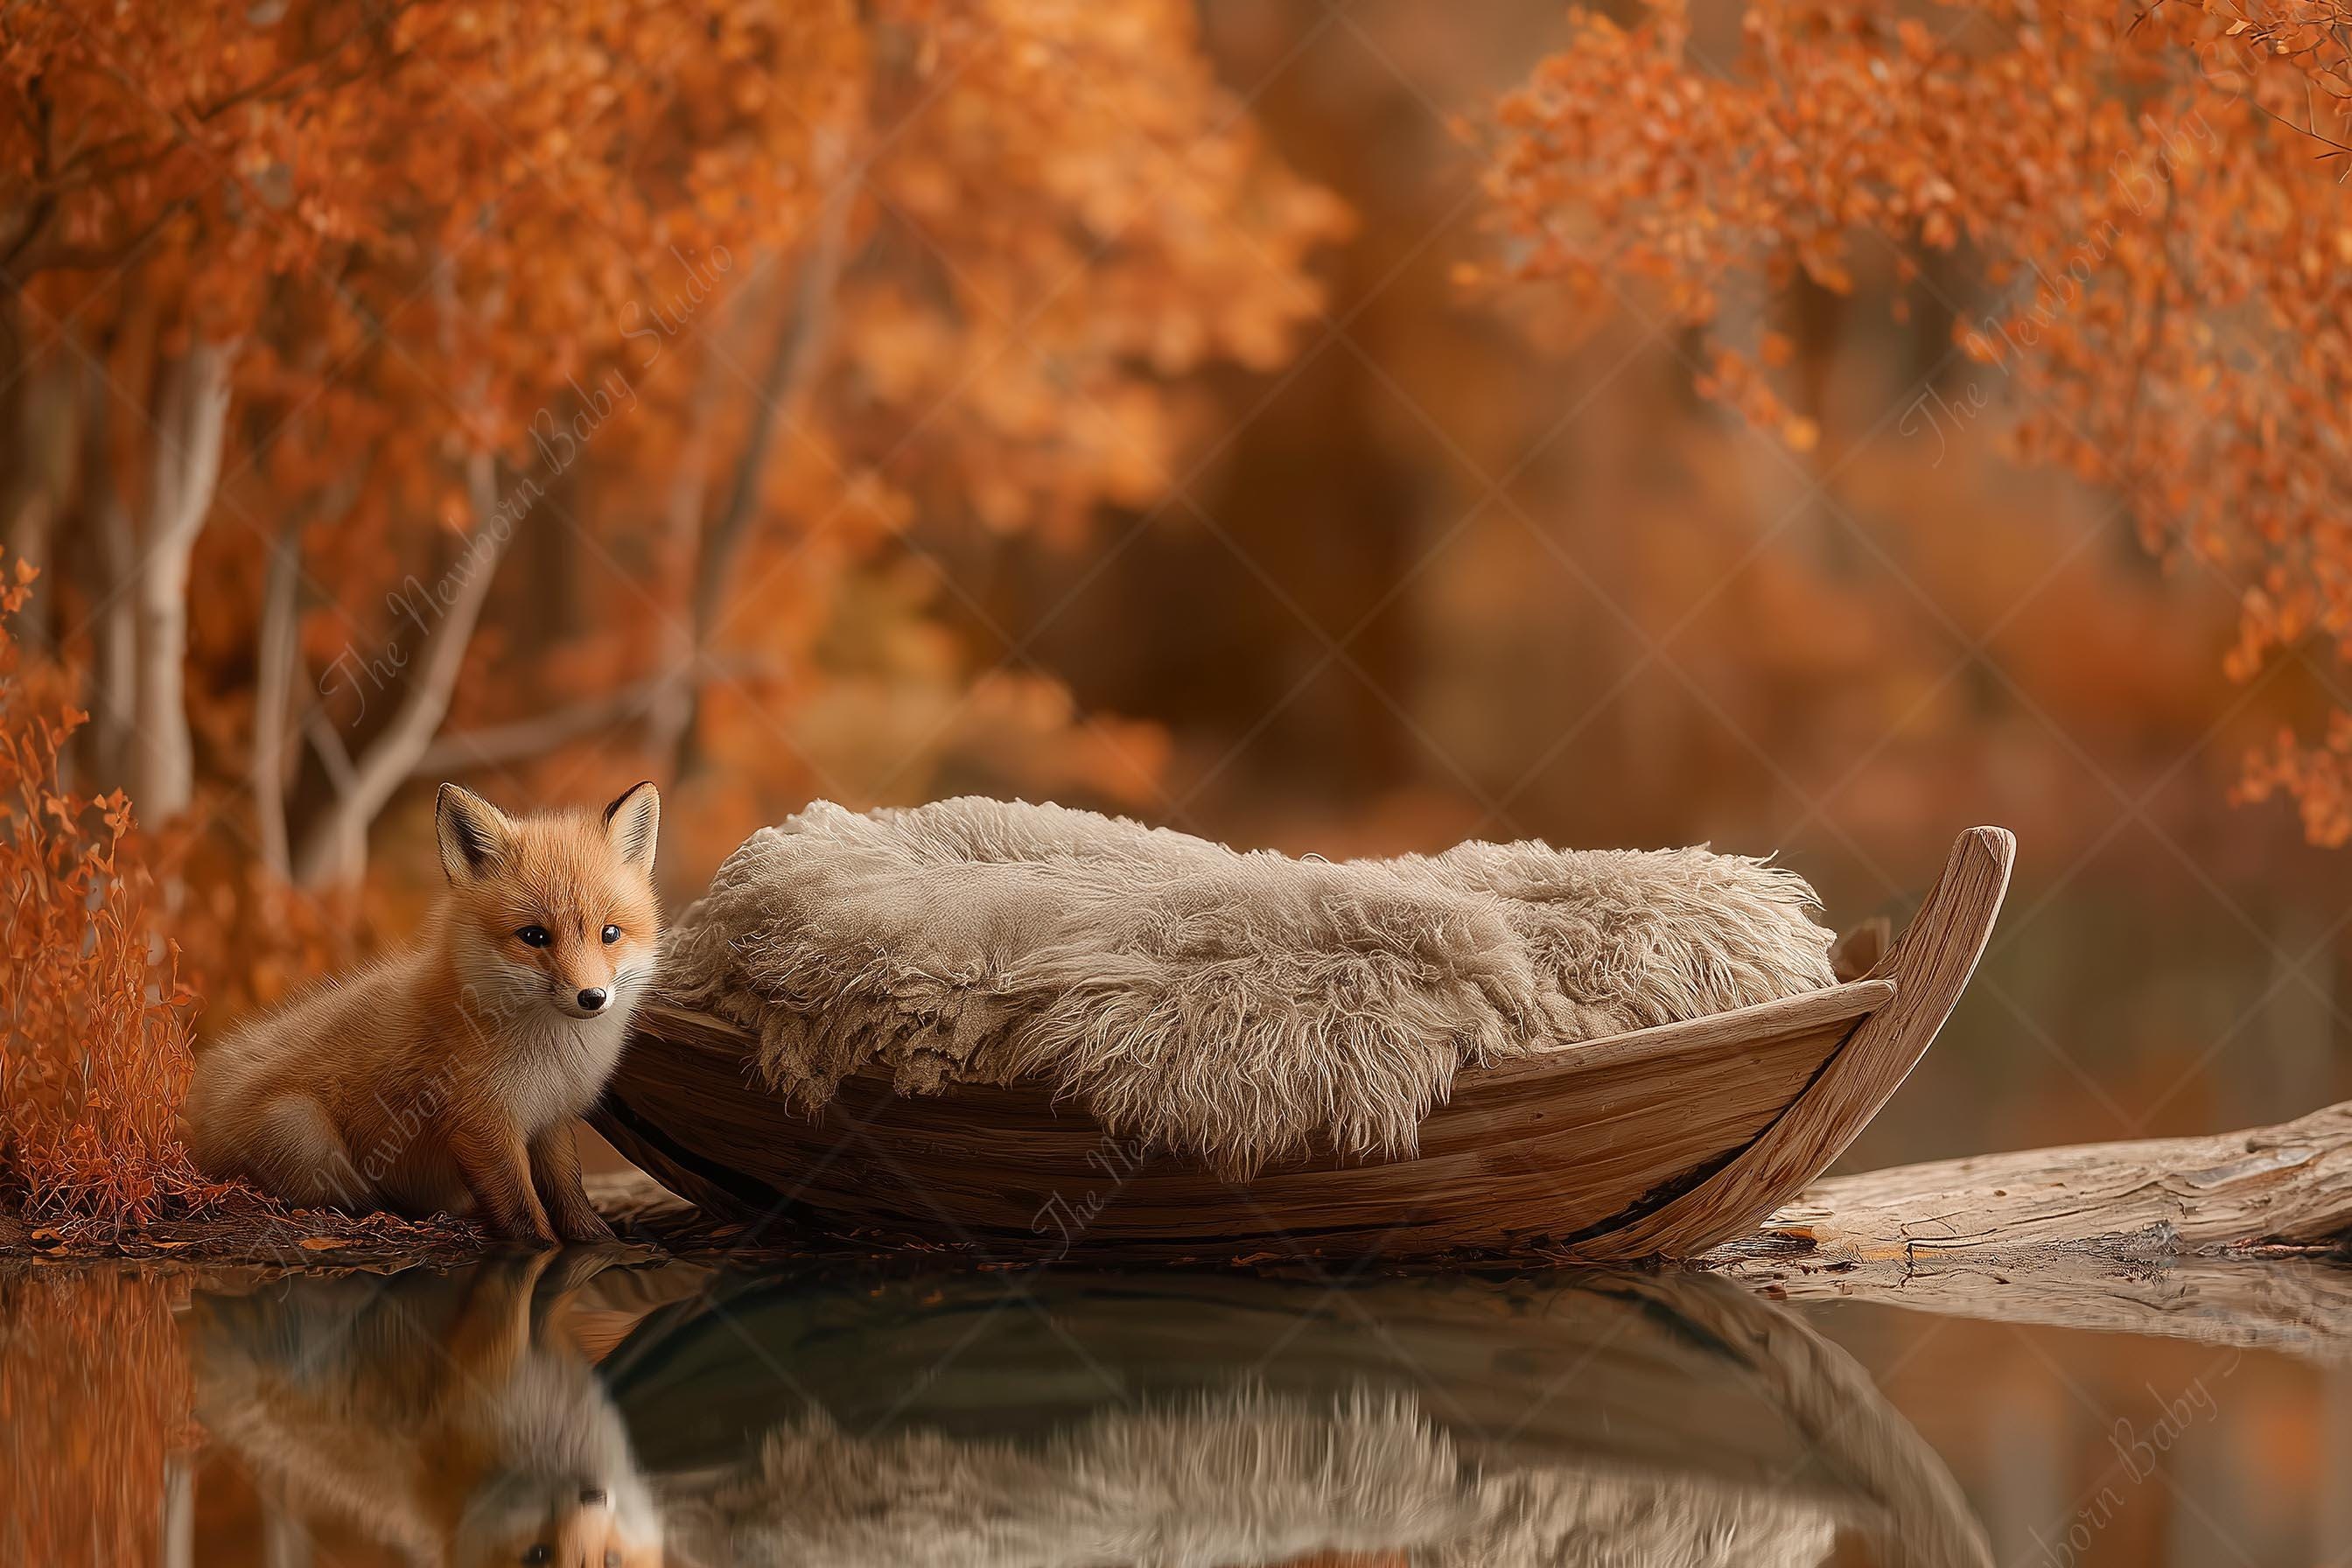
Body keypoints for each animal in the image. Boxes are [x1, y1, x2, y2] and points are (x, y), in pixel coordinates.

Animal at [187, 781, 663, 1244]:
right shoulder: (482, 1128)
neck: (555, 1055)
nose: (592, 997)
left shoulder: (552, 1119)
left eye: (610, 933)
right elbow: (524, 1212)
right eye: (533, 936)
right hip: (303, 1133)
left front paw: (598, 1240)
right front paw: (542, 1246)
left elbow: (570, 1193)